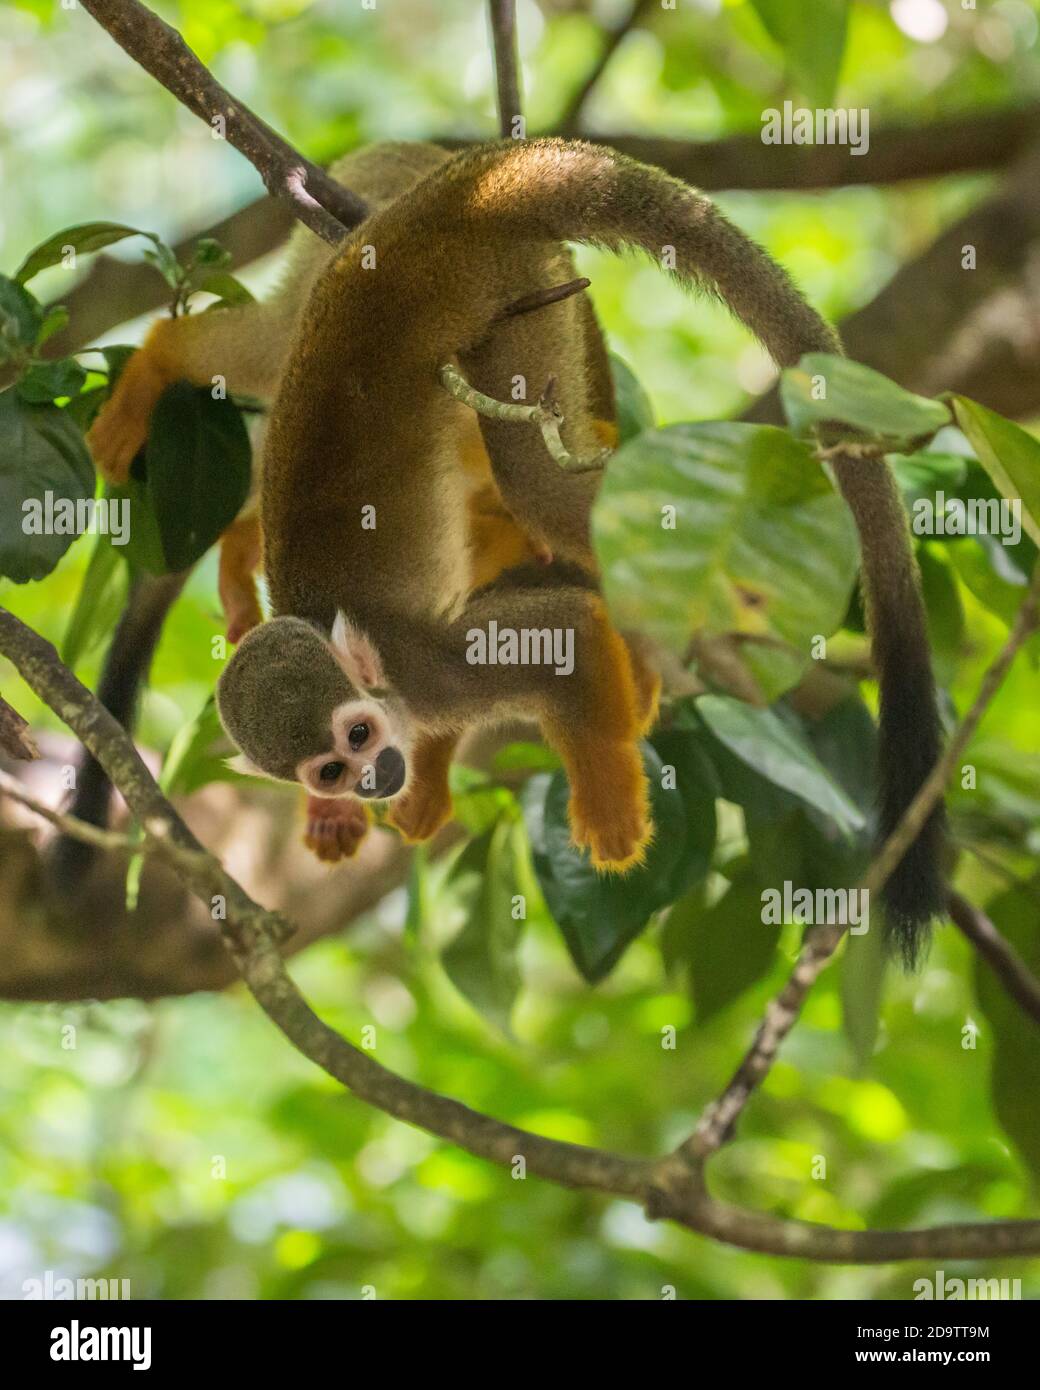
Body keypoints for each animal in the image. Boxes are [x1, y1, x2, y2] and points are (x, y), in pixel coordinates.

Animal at [199, 137, 944, 957]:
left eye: (358, 735)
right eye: (328, 770)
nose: (370, 779)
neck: (383, 684)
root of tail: (449, 201)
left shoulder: (420, 667)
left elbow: (568, 637)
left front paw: (612, 809)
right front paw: (421, 780)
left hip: (516, 298)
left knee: (538, 485)